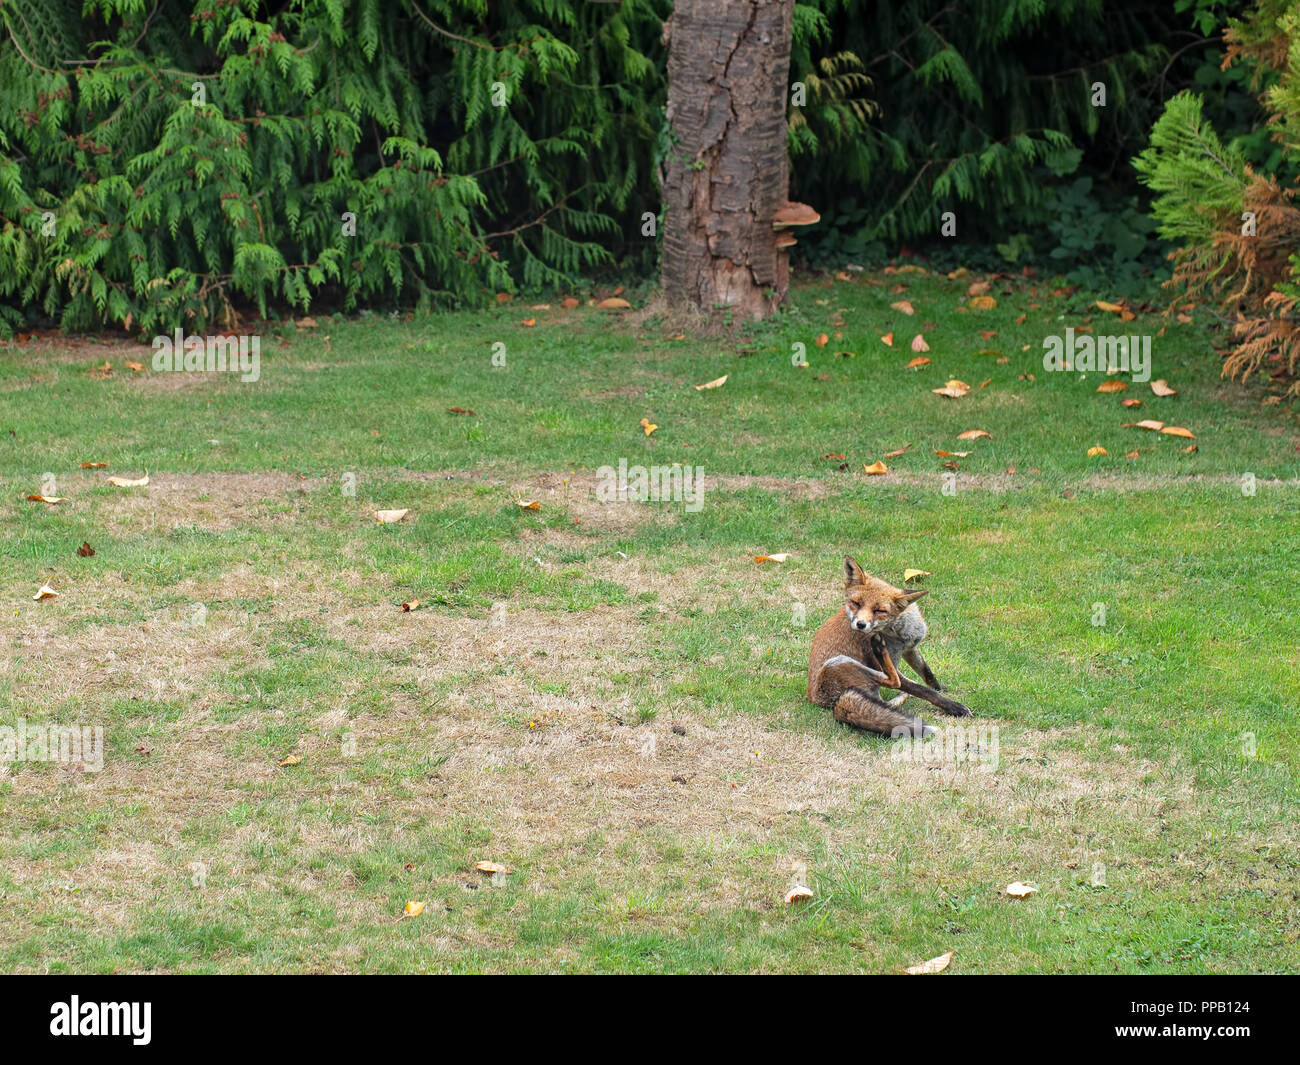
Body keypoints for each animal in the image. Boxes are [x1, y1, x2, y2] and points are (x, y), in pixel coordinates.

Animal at [807, 556, 971, 737]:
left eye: (879, 610)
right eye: (856, 603)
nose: (860, 625)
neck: (900, 633)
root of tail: (824, 702)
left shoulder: (910, 648)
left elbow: (927, 673)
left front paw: (940, 688)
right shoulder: (887, 662)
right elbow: (923, 690)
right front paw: (953, 707)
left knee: (888, 701)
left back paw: (900, 698)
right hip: (838, 662)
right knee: (894, 681)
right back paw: (879, 649)